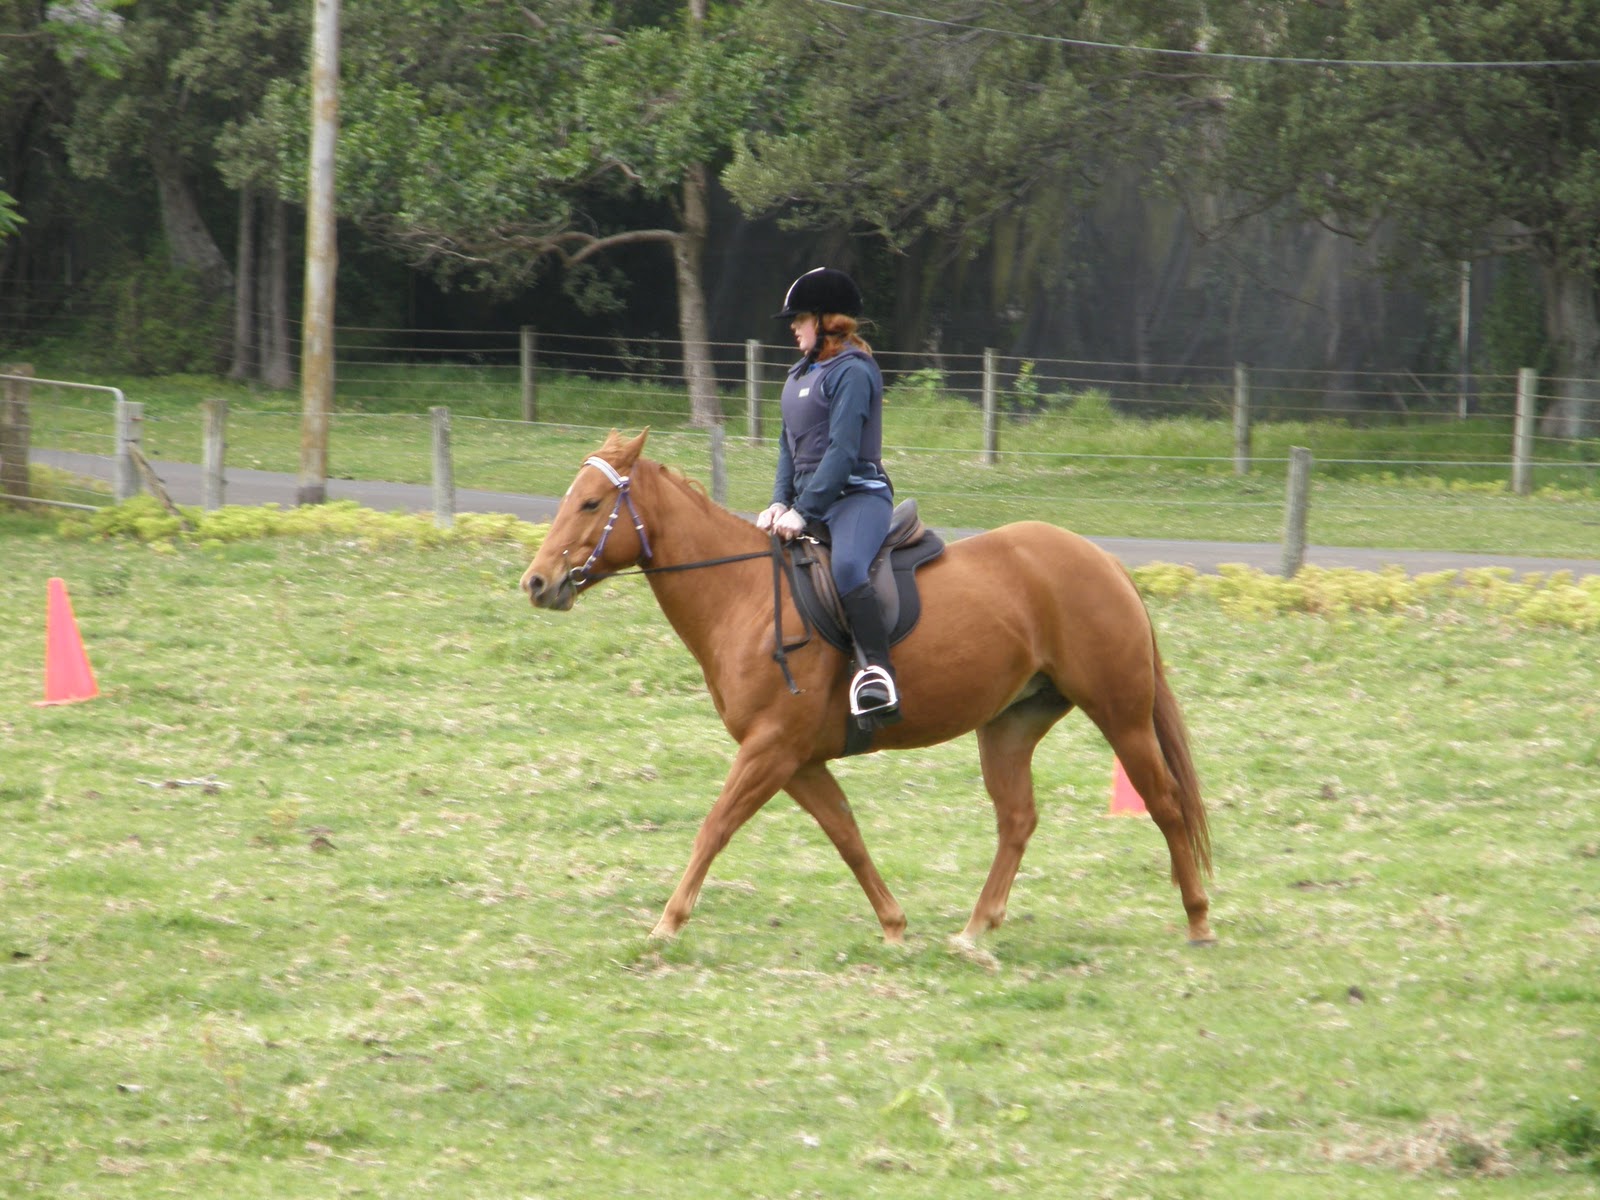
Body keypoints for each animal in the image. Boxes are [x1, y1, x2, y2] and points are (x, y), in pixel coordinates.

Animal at [520, 430, 1214, 948]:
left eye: (590, 505)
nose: (536, 582)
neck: (746, 596)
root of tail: (1104, 562)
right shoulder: (796, 760)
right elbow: (846, 835)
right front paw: (894, 925)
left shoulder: (769, 749)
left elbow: (715, 826)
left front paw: (667, 923)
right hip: (1010, 726)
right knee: (1017, 818)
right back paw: (973, 930)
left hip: (1121, 716)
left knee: (1165, 803)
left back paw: (1198, 920)